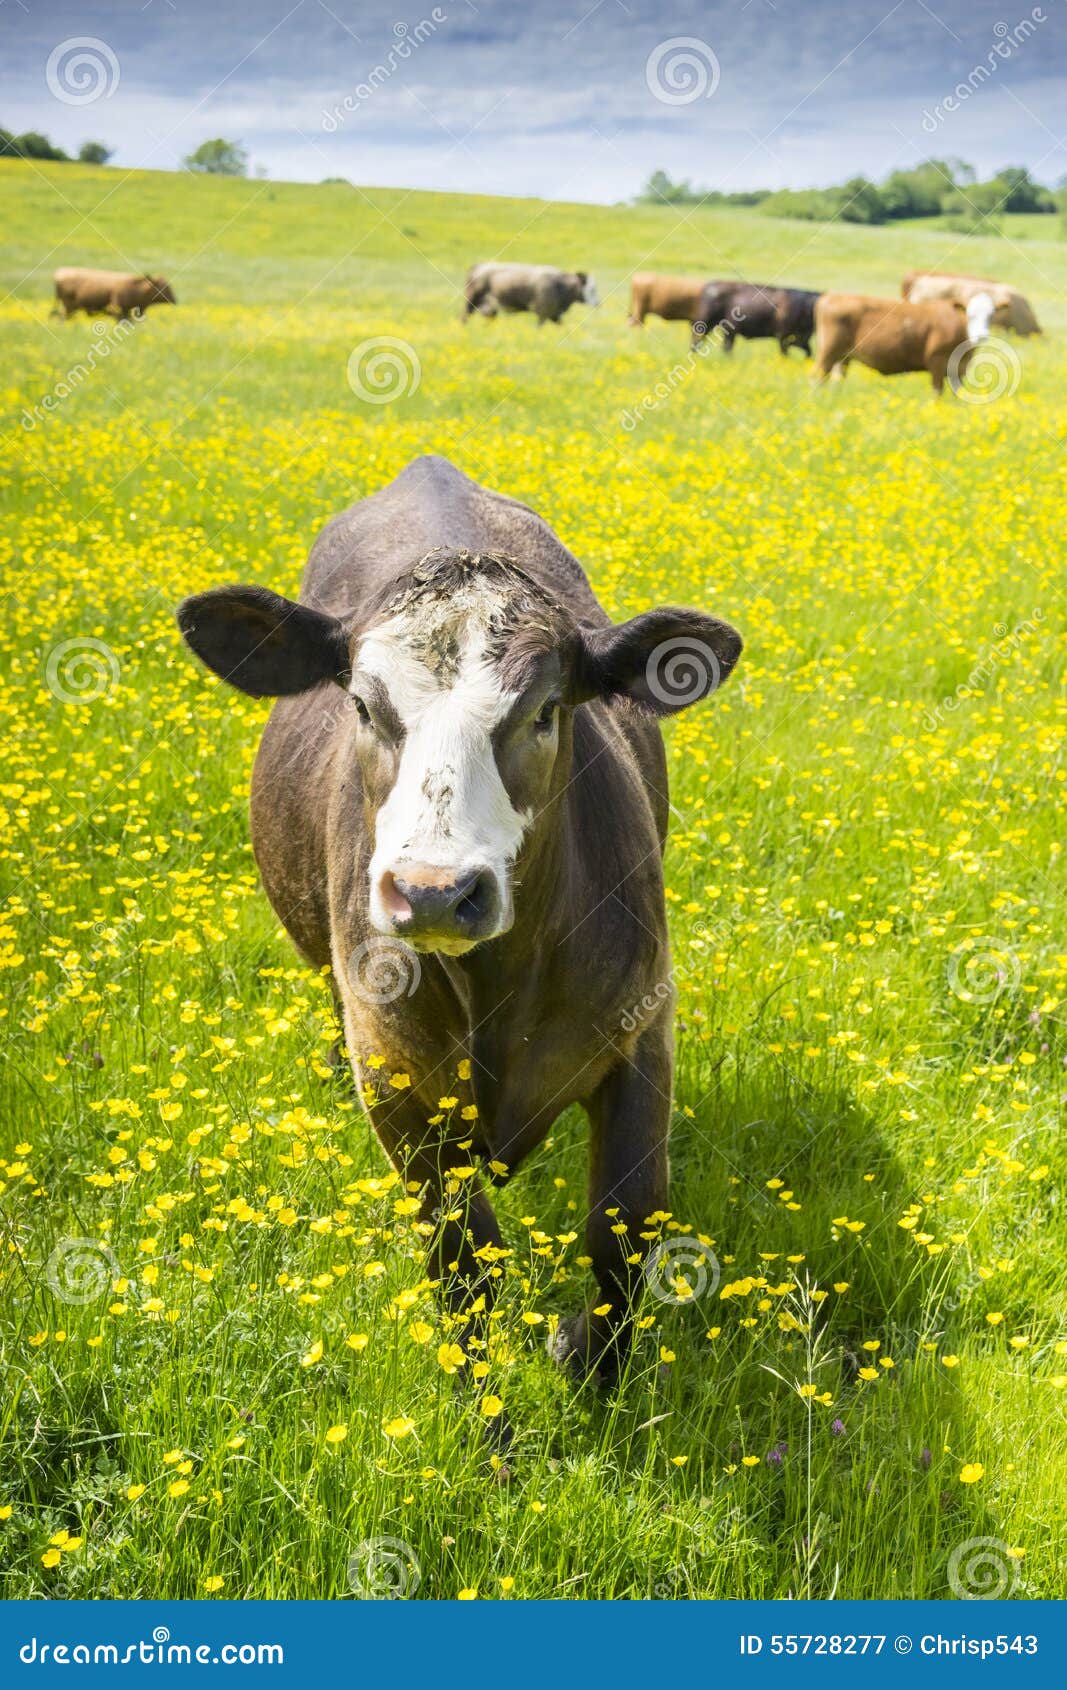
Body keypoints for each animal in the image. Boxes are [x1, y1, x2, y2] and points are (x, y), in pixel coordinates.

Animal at [176, 455, 742, 1450]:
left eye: (546, 710)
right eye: (361, 706)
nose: (436, 889)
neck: (498, 992)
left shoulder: (642, 1027)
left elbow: (623, 1224)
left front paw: (591, 1372)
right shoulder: (400, 1082)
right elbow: (462, 1263)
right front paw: (492, 1441)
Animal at [464, 263, 599, 325]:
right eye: (591, 289)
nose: (598, 304)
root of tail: (478, 266)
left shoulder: (555, 315)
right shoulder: (542, 312)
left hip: (489, 307)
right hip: (471, 300)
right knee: (464, 317)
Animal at [813, 290, 996, 395]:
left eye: (991, 315)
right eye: (970, 315)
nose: (982, 335)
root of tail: (830, 297)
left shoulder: (957, 371)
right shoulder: (936, 362)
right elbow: (938, 392)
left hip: (843, 358)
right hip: (827, 353)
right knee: (817, 378)